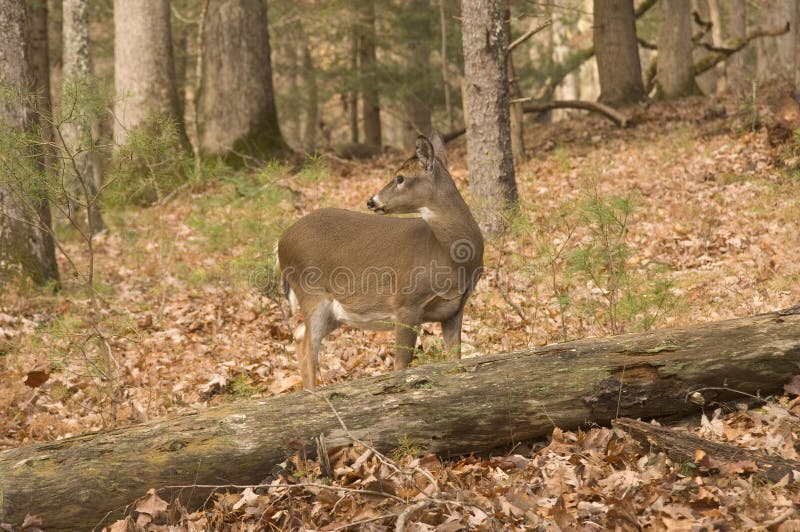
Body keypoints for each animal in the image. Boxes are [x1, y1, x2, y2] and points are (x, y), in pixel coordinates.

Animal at [277, 131, 484, 389]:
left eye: (400, 178)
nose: (371, 201)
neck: (450, 256)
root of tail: (280, 241)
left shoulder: (455, 308)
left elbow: (455, 359)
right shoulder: (406, 303)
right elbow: (401, 364)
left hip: (333, 311)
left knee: (298, 335)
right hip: (312, 294)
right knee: (308, 349)